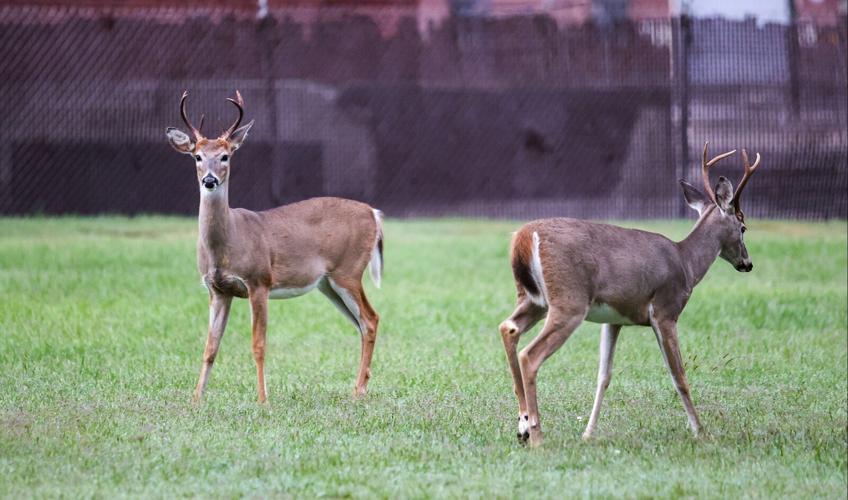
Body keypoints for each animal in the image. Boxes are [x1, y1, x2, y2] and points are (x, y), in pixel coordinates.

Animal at [165, 91, 384, 403]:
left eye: (225, 155)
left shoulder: (259, 282)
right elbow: (210, 348)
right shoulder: (217, 289)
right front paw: (196, 400)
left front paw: (262, 400)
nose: (209, 180)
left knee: (371, 318)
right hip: (327, 283)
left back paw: (358, 391)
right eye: (197, 156)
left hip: (349, 270)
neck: (228, 243)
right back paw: (360, 387)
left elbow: (258, 345)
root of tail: (373, 213)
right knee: (361, 324)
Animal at [498, 143, 761, 447]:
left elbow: (604, 376)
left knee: (508, 328)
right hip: (569, 300)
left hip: (533, 298)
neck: (686, 263)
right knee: (530, 355)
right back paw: (538, 437)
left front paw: (588, 433)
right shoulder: (666, 310)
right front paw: (701, 431)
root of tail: (524, 236)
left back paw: (523, 426)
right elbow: (679, 375)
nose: (747, 263)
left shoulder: (613, 319)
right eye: (743, 227)